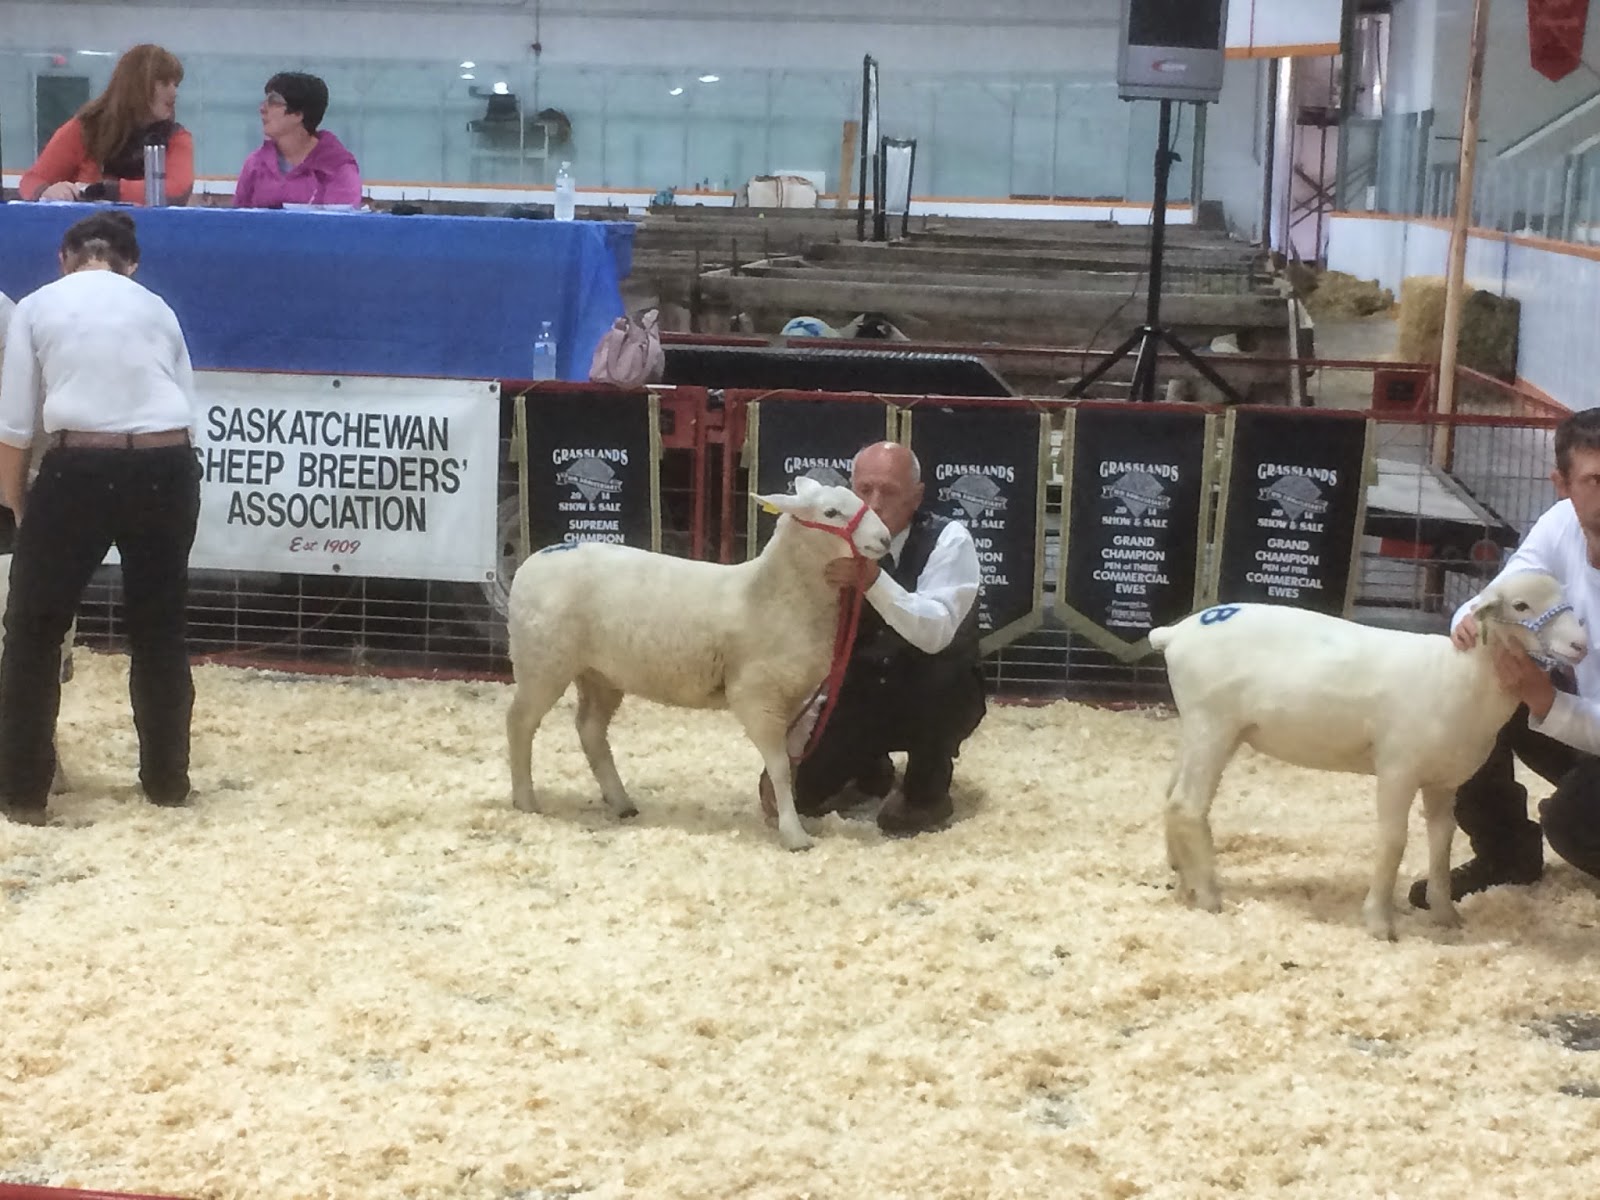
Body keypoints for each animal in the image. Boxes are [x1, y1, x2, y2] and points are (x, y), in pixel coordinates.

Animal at [504, 475, 891, 851]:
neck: (774, 593)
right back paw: (526, 799)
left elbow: (791, 765)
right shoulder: (754, 695)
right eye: (831, 513)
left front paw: (784, 817)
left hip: (599, 673)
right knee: (519, 722)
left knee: (590, 729)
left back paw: (621, 802)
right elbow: (780, 767)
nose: (885, 538)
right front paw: (795, 836)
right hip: (542, 663)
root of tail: (535, 559)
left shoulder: (796, 697)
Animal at [1148, 570, 1588, 940]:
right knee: (1187, 804)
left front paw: (1445, 914)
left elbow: (1441, 842)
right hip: (1213, 722)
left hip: (1202, 726)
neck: (1458, 673)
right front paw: (1379, 921)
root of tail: (1175, 633)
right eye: (1521, 606)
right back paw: (1208, 896)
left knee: (1170, 797)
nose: (1580, 645)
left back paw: (1183, 882)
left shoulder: (1443, 779)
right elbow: (1393, 841)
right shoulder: (1398, 767)